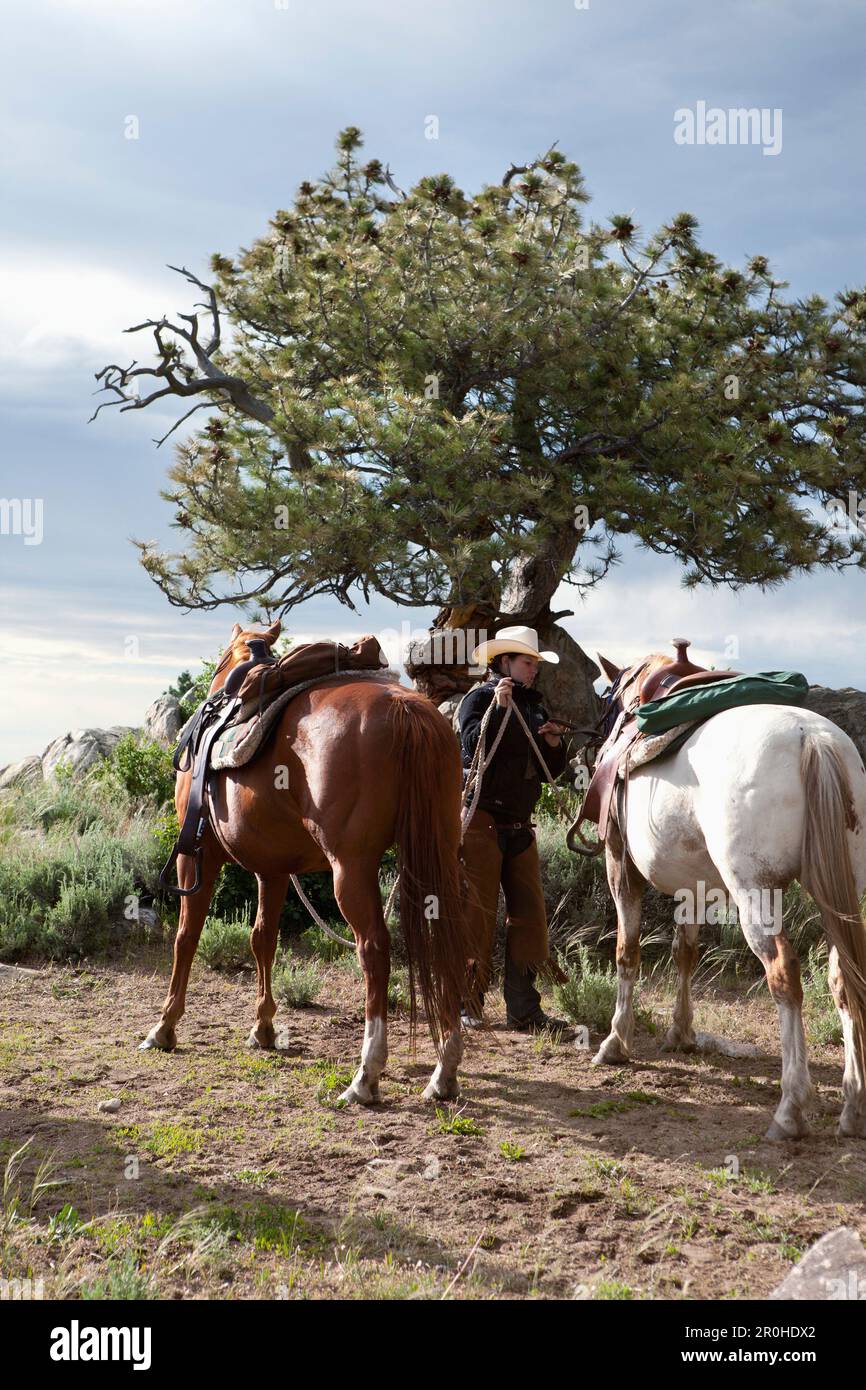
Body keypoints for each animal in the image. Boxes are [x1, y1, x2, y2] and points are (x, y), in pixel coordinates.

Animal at [140, 620, 471, 1106]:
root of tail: (405, 708)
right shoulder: (273, 870)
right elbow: (263, 939)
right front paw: (263, 1027)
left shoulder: (199, 856)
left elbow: (187, 937)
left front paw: (164, 1026)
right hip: (439, 852)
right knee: (445, 938)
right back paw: (444, 1069)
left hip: (351, 868)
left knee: (374, 948)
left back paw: (366, 1074)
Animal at [572, 651, 866, 1140]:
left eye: (607, 701)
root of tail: (813, 738)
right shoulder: (693, 886)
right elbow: (685, 951)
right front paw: (681, 1032)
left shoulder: (619, 863)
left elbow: (626, 951)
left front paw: (616, 1042)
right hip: (840, 897)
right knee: (843, 977)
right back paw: (853, 1105)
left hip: (756, 895)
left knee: (784, 973)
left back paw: (790, 1108)